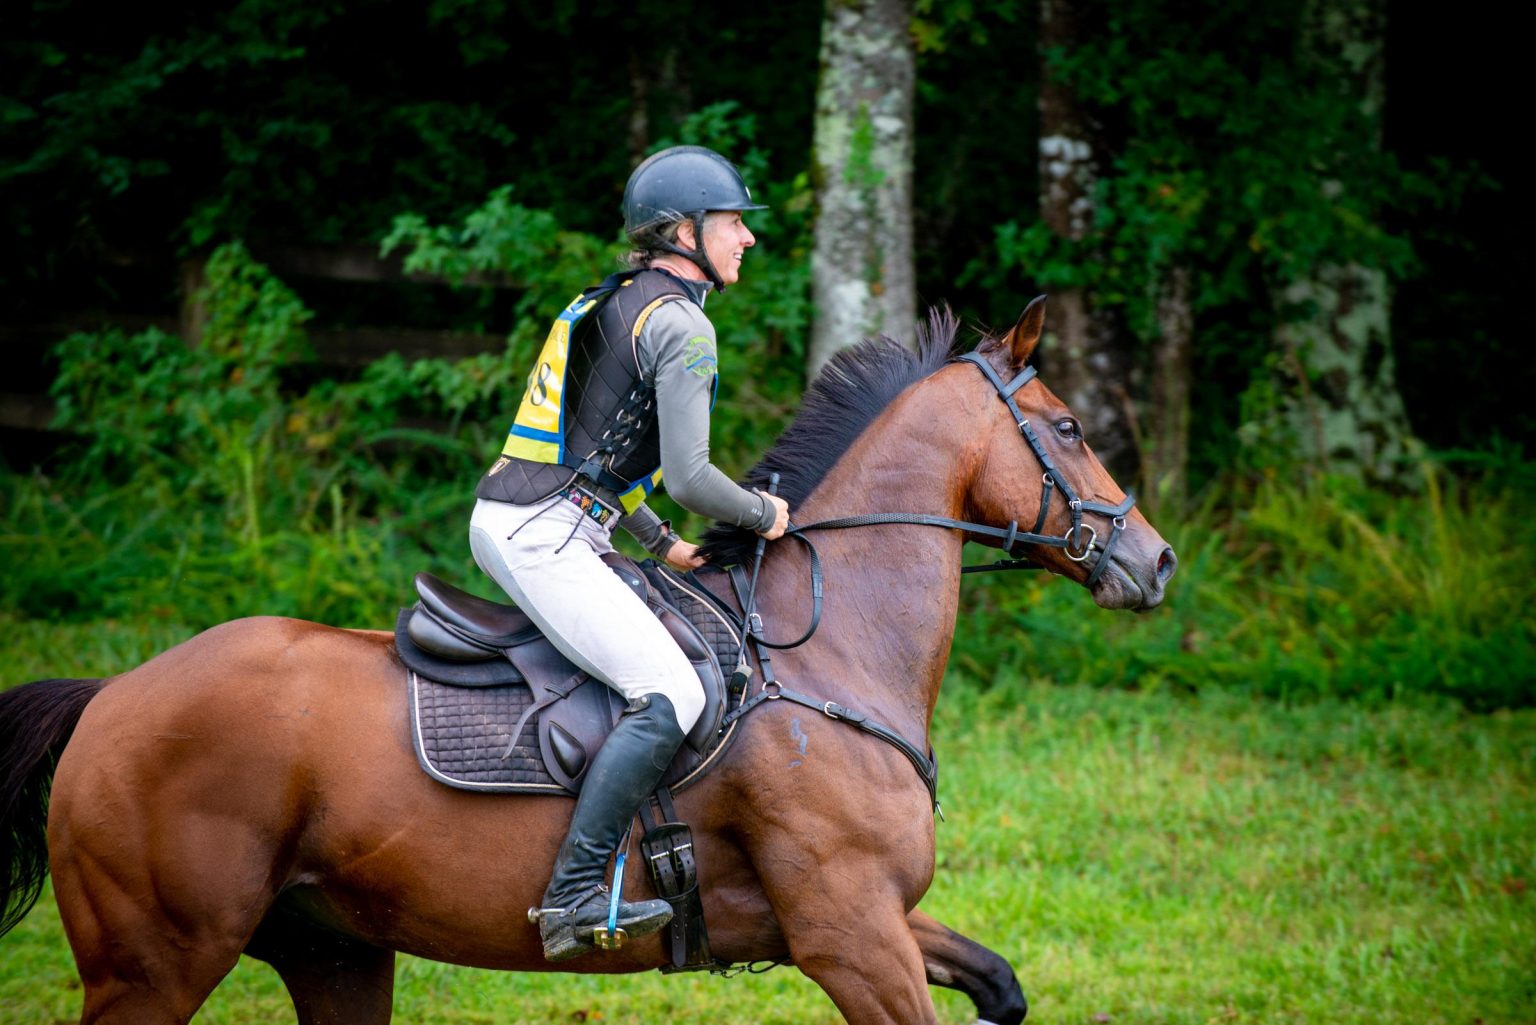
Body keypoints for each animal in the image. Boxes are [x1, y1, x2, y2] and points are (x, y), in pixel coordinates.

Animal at [0, 297, 1176, 1025]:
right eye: (1070, 427)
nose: (1155, 560)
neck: (827, 654)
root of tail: (112, 695)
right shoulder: (848, 929)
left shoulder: (872, 915)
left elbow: (1002, 982)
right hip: (155, 961)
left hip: (334, 950)